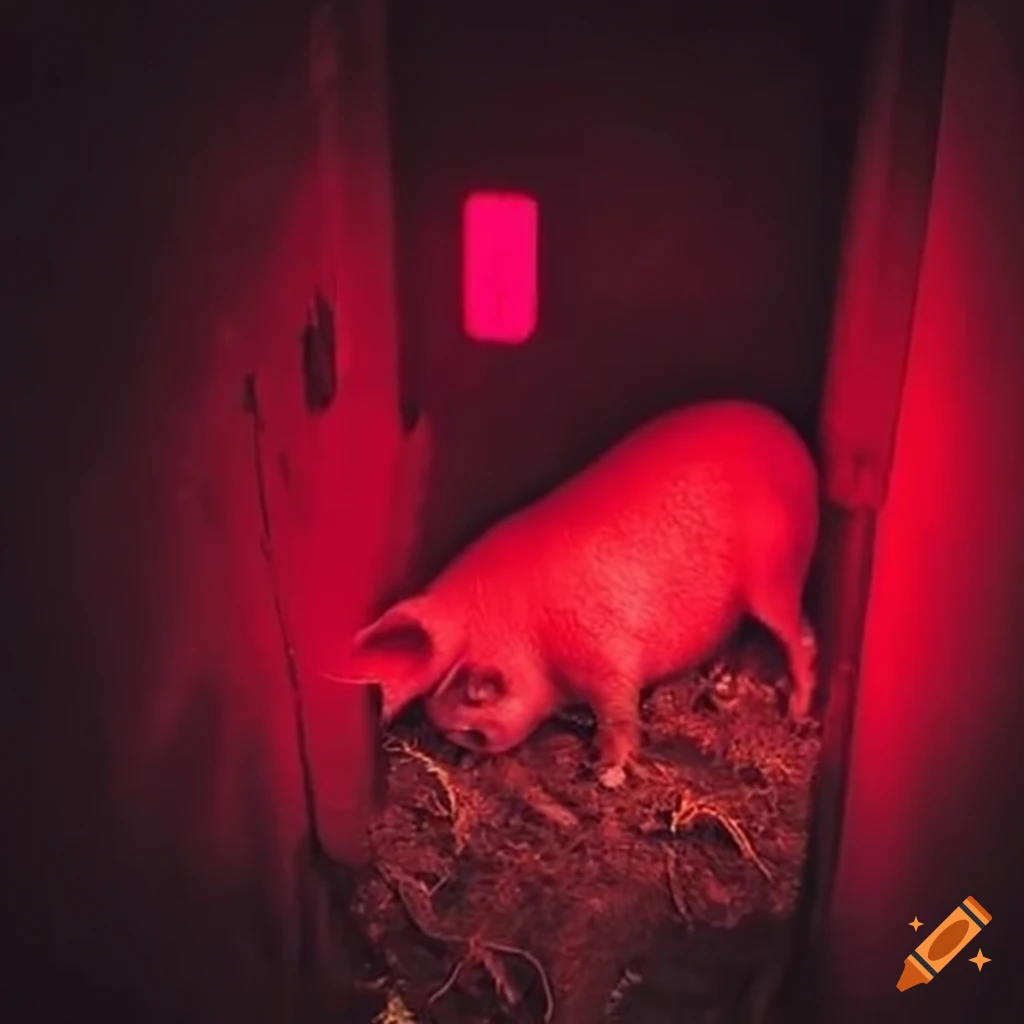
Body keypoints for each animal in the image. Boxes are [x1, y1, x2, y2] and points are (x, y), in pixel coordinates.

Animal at [341, 399, 819, 789]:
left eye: (473, 728)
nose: (455, 752)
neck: (525, 632)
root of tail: (796, 446)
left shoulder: (610, 657)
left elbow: (618, 715)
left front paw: (607, 772)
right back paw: (722, 677)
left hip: (774, 575)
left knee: (803, 638)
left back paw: (795, 715)